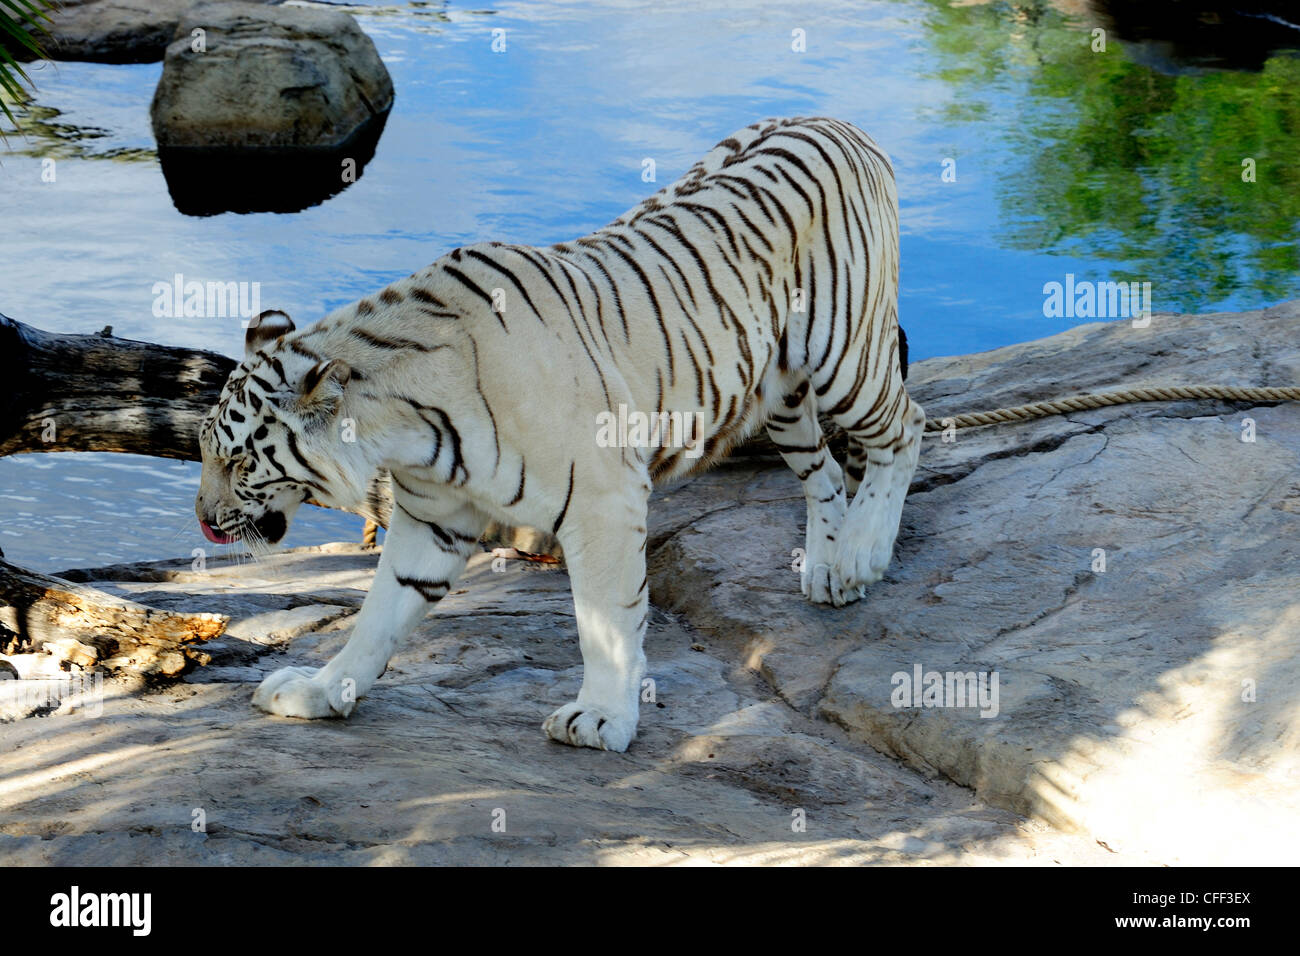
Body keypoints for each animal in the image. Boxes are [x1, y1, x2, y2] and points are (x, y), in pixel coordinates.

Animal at [195, 116, 926, 752]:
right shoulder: (433, 518)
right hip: (780, 392)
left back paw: (862, 552)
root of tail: (840, 123)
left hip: (846, 359)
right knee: (824, 471)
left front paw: (600, 719)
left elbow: (606, 621)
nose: (203, 518)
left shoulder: (605, 503)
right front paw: (319, 691)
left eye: (238, 462)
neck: (403, 427)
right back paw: (829, 572)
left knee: (905, 427)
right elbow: (377, 615)